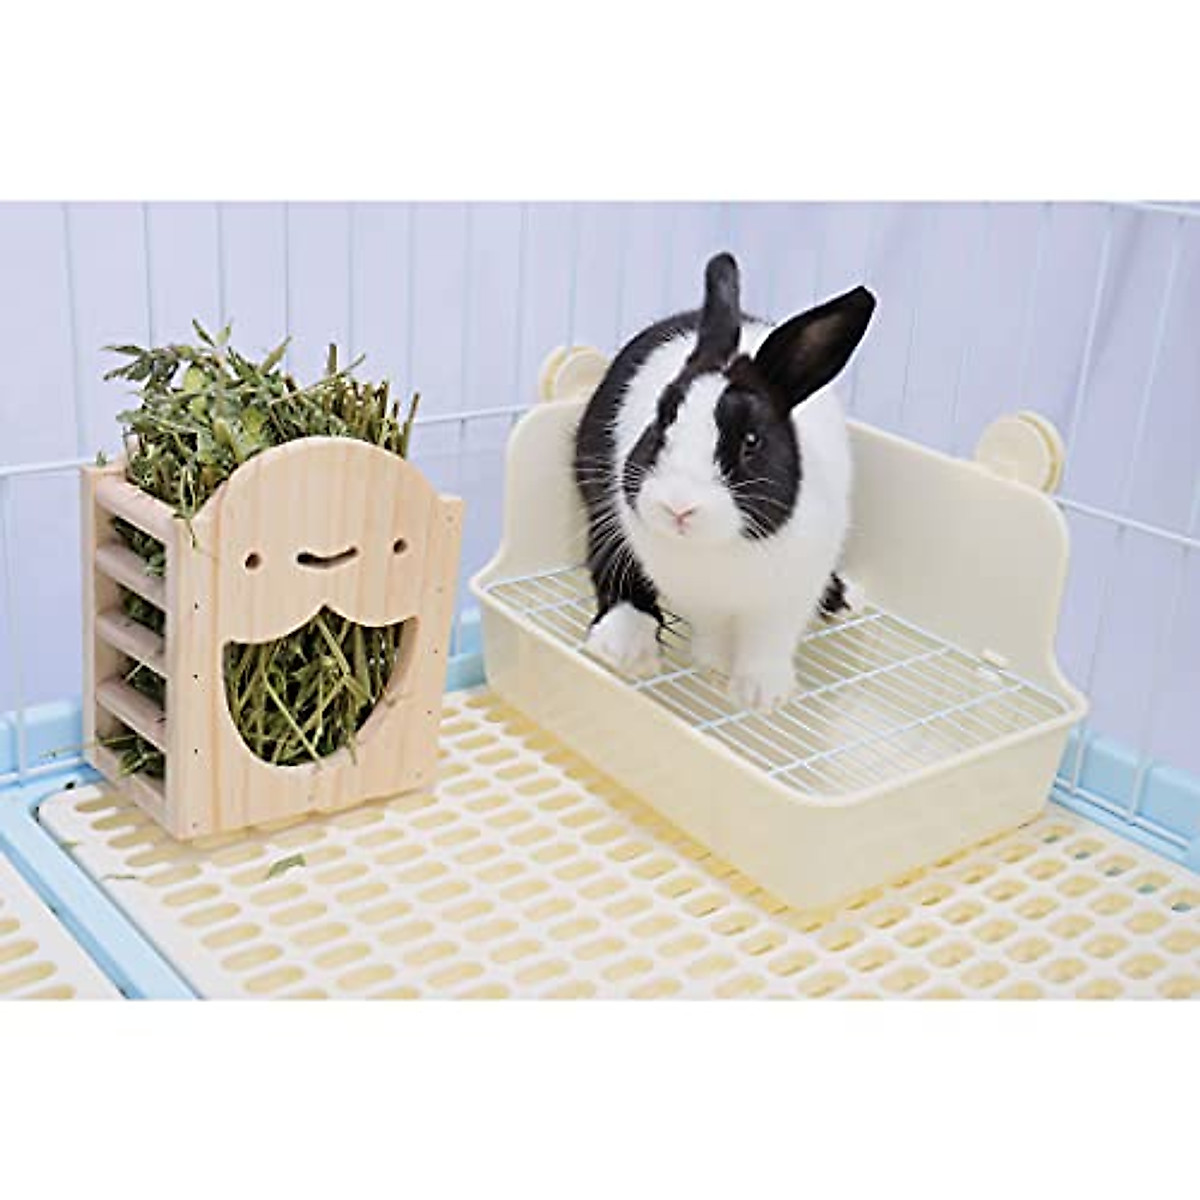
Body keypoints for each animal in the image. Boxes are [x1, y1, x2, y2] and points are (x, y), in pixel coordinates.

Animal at [573, 251, 875, 711]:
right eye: (662, 419)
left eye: (751, 441)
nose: (678, 506)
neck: (723, 550)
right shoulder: (702, 600)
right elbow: (712, 633)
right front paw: (713, 669)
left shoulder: (786, 601)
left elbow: (767, 645)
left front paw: (763, 696)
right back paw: (626, 647)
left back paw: (845, 599)